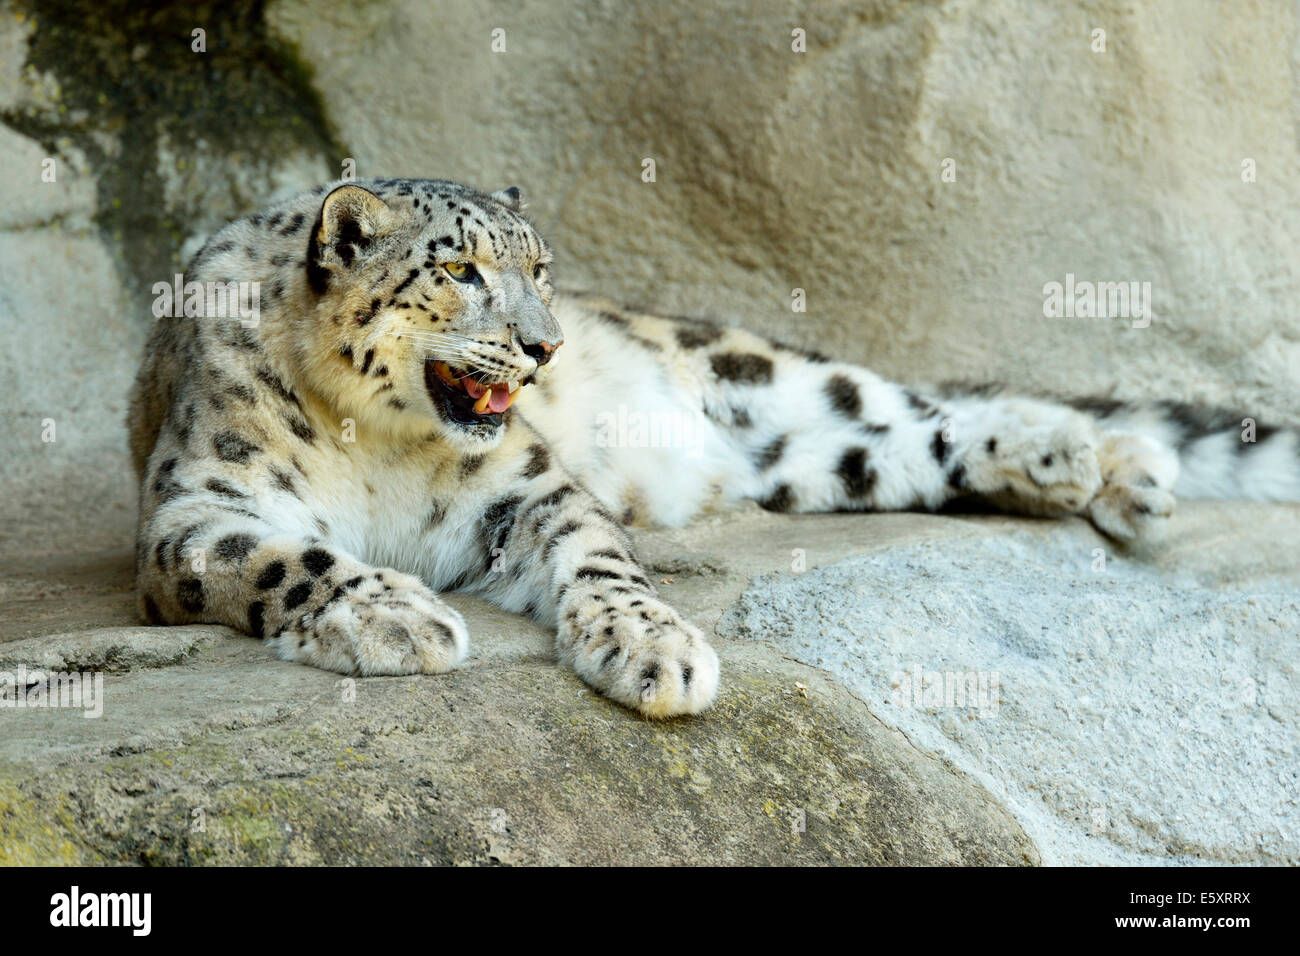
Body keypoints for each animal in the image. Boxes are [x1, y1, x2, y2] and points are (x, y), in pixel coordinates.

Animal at [127, 177, 1300, 718]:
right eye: (458, 271)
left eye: (539, 267)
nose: (546, 345)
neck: (374, 439)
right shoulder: (193, 509)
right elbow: (283, 558)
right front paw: (393, 616)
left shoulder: (527, 486)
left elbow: (604, 561)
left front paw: (657, 653)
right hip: (812, 460)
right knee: (906, 444)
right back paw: (1092, 467)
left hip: (772, 376)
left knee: (917, 403)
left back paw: (1117, 462)